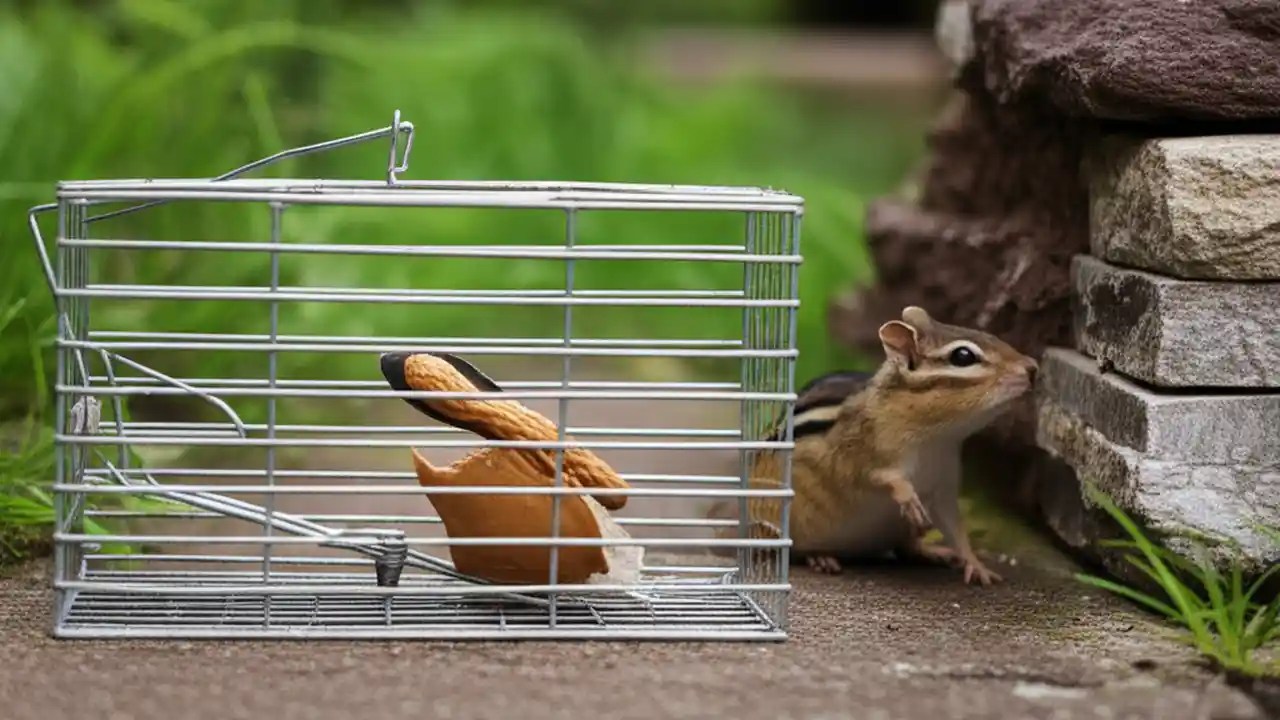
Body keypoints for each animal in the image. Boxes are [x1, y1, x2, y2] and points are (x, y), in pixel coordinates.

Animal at [712, 306, 1038, 585]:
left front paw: (975, 564)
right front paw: (906, 495)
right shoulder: (859, 453)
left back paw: (932, 552)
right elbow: (879, 476)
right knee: (794, 549)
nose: (1032, 367)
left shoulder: (944, 484)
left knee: (906, 549)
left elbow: (955, 527)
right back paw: (821, 557)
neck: (936, 437)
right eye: (963, 356)